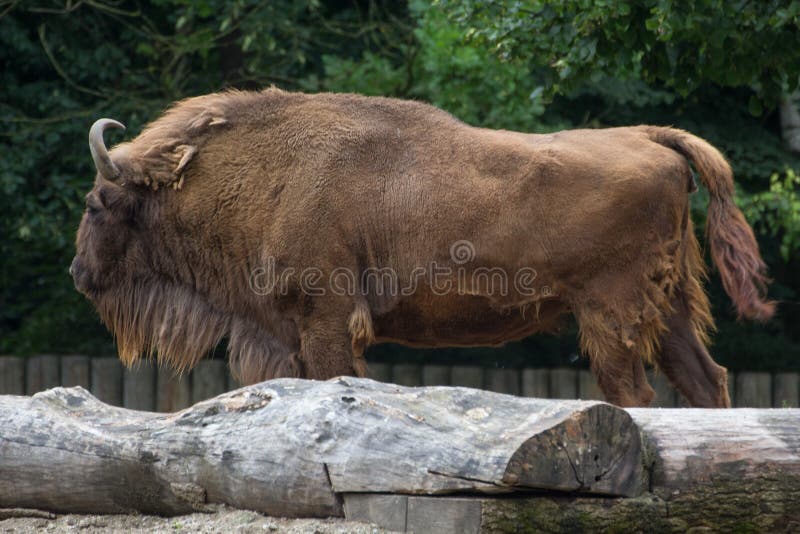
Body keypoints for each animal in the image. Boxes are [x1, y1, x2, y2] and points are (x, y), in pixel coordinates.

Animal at [72, 88, 774, 407]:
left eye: (96, 202)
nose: (79, 271)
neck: (271, 174)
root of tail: (651, 136)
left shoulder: (328, 323)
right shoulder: (291, 335)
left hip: (611, 312)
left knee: (634, 394)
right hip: (669, 304)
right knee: (704, 380)